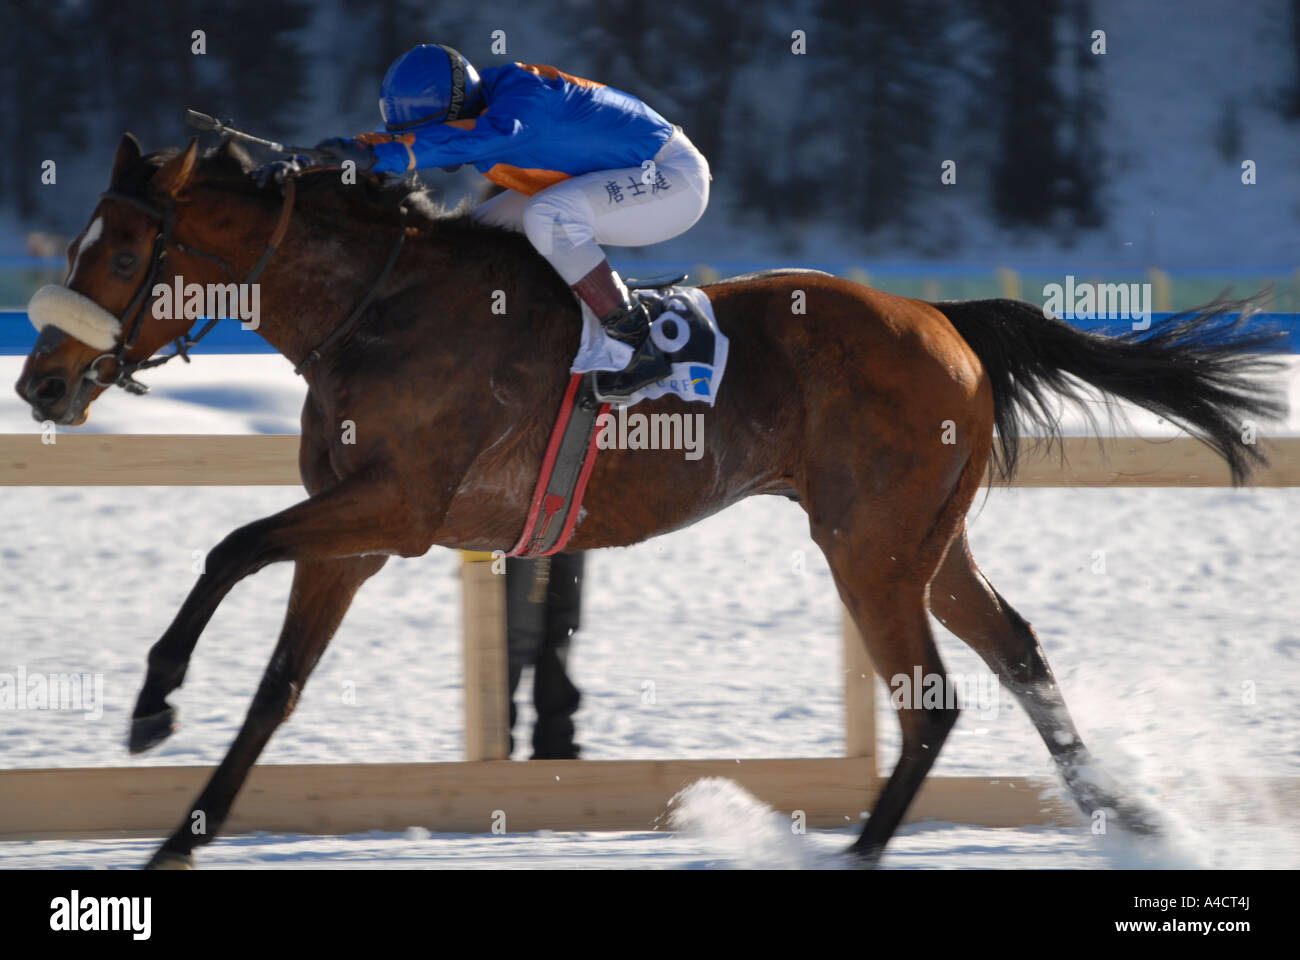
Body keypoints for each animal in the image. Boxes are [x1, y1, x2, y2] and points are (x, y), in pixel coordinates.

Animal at [15, 134, 1287, 868]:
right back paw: (1128, 816)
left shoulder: (401, 510)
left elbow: (230, 547)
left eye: (120, 254)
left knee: (929, 699)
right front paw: (177, 835)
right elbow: (277, 685)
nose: (40, 382)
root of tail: (944, 320)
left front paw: (152, 706)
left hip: (869, 545)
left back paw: (860, 851)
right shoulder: (353, 536)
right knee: (1014, 647)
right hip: (927, 537)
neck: (378, 306)